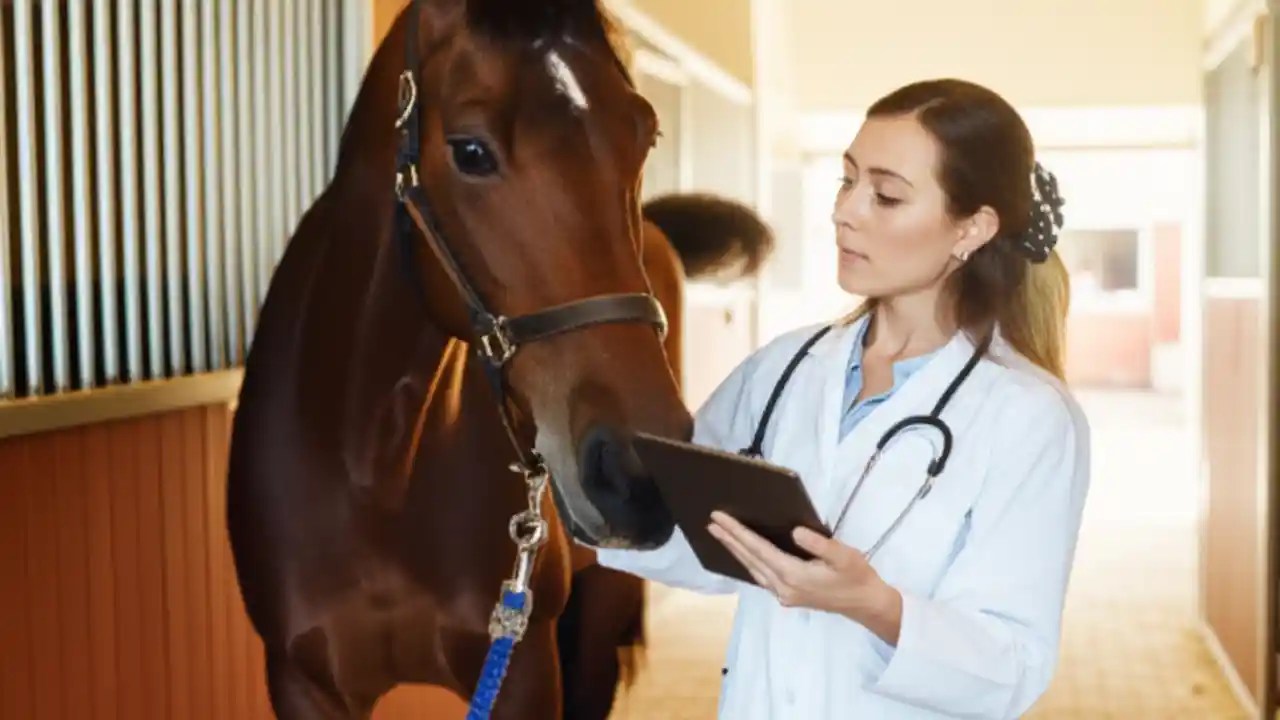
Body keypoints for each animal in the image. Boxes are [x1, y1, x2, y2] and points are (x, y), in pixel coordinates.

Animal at [226, 0, 773, 718]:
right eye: (470, 150)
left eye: (645, 136)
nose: (635, 472)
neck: (373, 463)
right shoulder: (301, 680)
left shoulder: (523, 665)